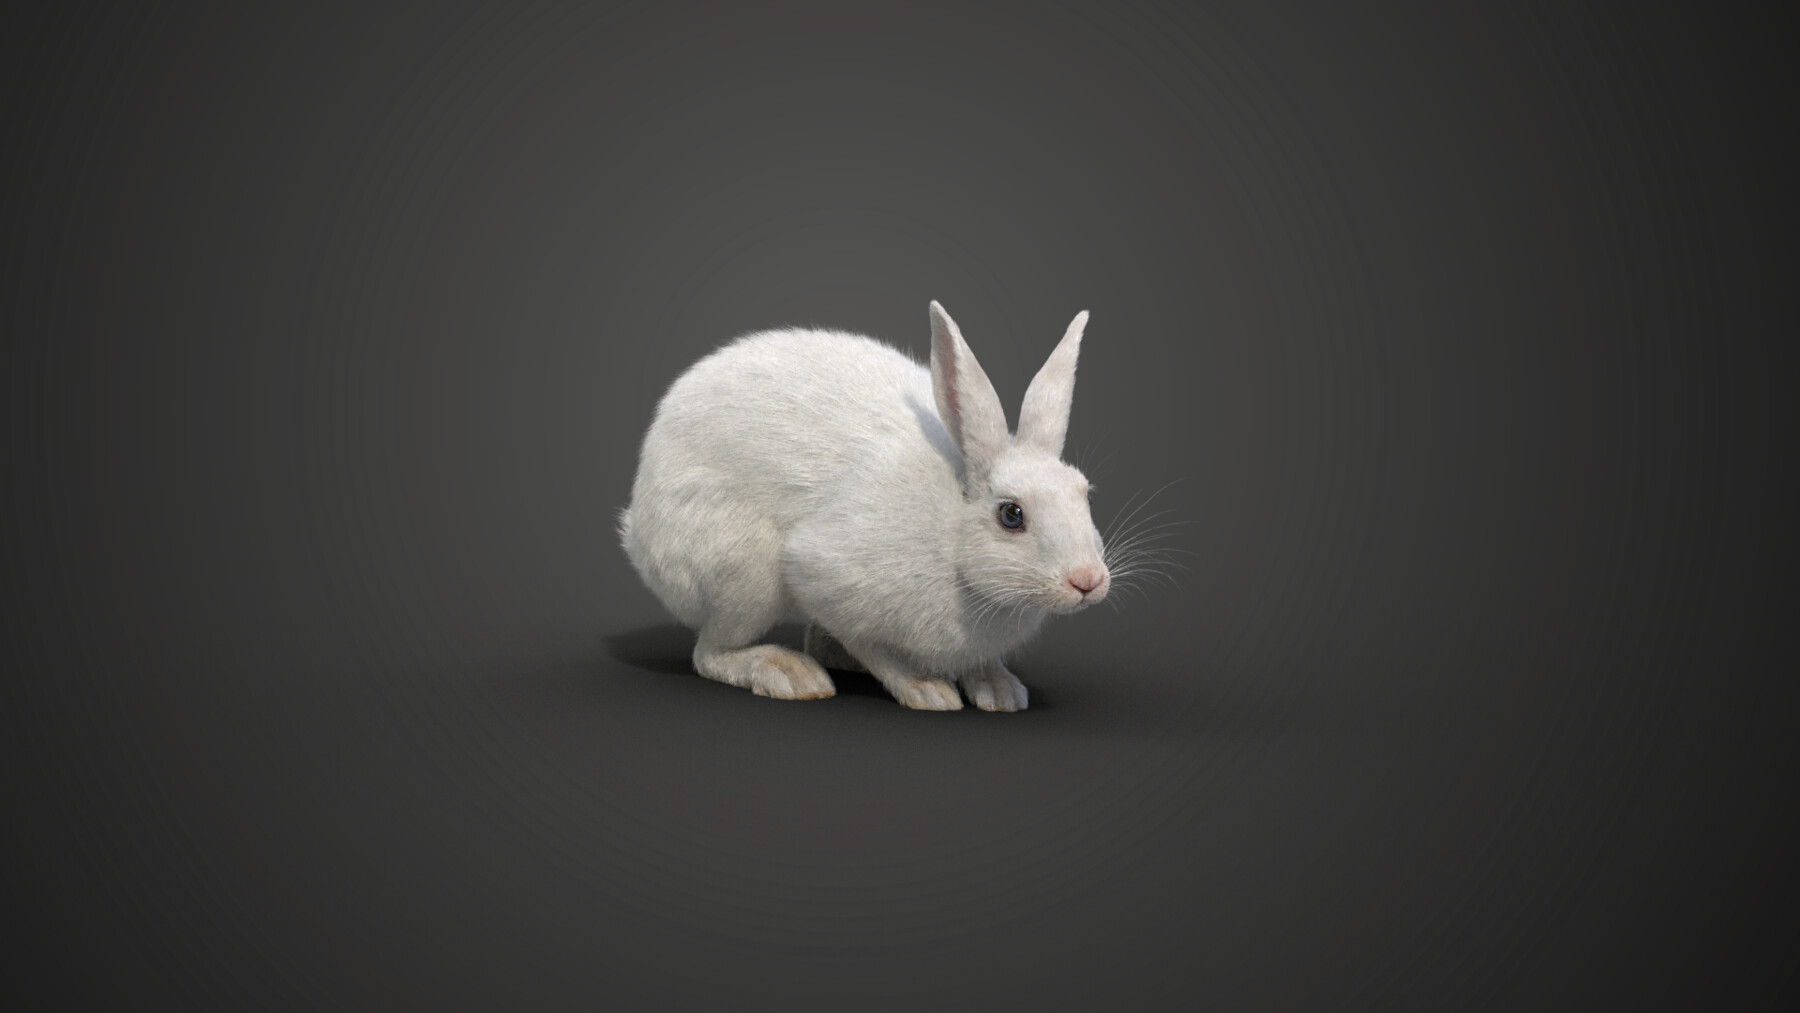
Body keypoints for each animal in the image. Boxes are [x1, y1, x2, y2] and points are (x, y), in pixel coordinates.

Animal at [618, 301, 1109, 711]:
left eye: (1085, 494)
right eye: (1011, 515)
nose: (1088, 581)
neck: (954, 543)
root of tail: (637, 531)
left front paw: (1001, 691)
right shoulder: (826, 577)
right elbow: (877, 650)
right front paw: (927, 691)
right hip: (742, 575)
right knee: (711, 651)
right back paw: (790, 673)